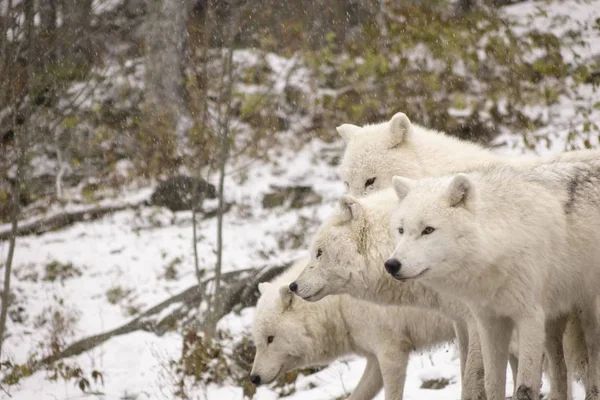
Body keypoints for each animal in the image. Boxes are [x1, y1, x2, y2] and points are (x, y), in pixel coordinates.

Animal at [248, 258, 454, 398]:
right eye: (258, 342)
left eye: (270, 339)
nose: (253, 378)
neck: (339, 305)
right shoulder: (375, 360)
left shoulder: (391, 354)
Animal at [386, 161, 600, 400]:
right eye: (401, 230)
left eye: (428, 230)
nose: (391, 264)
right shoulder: (490, 322)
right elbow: (492, 383)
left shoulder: (530, 318)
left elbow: (525, 388)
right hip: (554, 323)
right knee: (560, 368)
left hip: (587, 315)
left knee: (593, 354)